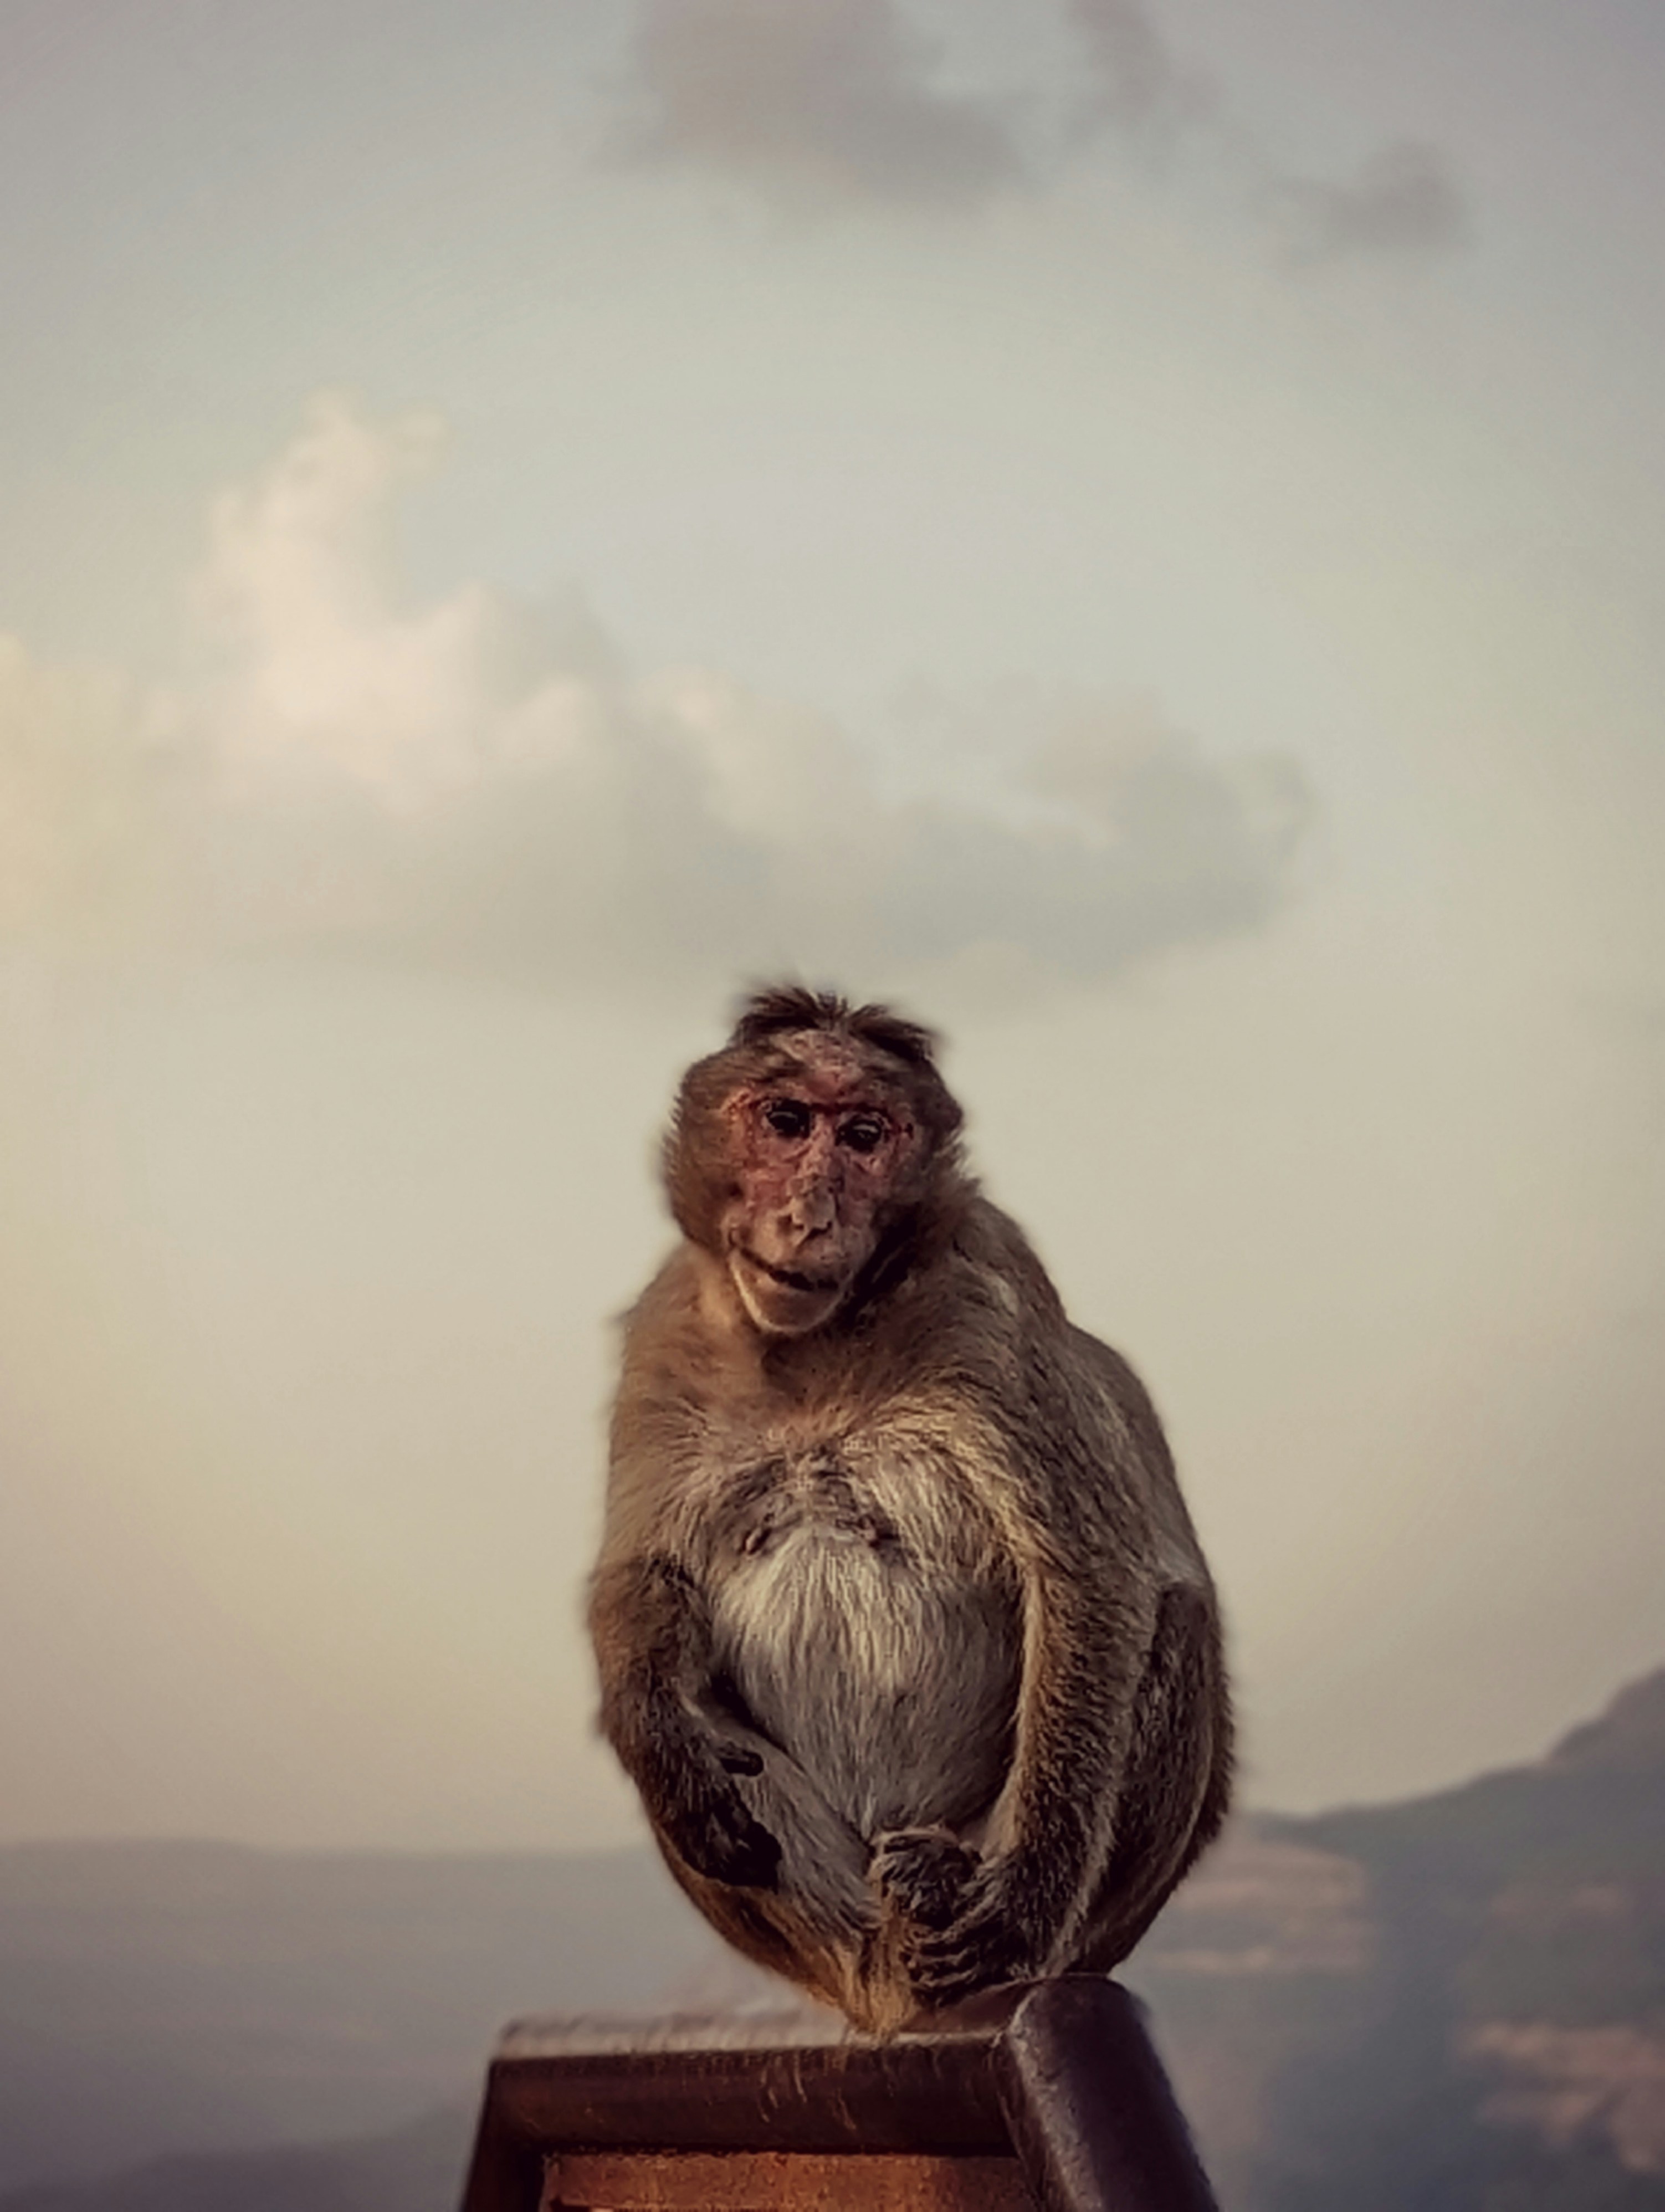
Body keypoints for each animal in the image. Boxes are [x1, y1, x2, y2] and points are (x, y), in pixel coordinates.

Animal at [588, 984, 1231, 2036]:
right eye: (785, 1120)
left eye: (863, 1136)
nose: (810, 1213)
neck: (814, 1348)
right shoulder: (666, 1329)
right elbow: (646, 1571)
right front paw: (659, 1737)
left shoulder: (989, 1297)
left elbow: (1088, 1575)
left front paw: (1019, 1906)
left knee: (1172, 1615)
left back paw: (954, 1905)